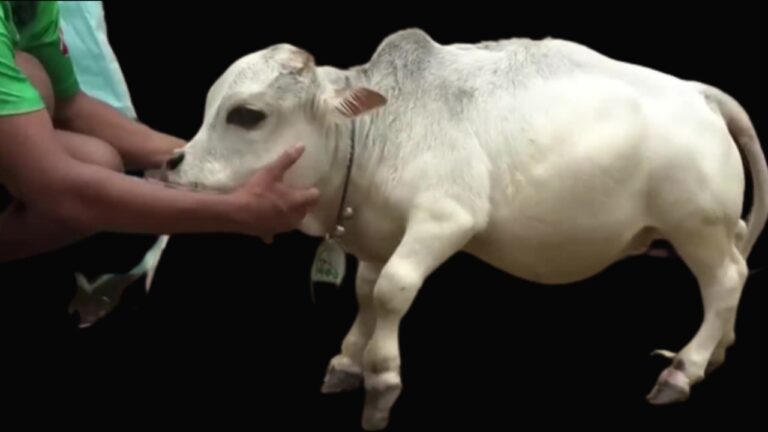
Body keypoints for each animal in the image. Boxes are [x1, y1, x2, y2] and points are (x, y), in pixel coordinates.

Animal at [160, 29, 767, 430]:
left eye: (247, 115)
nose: (173, 165)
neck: (377, 130)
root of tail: (698, 91)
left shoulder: (445, 218)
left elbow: (393, 289)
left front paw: (382, 379)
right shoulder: (376, 235)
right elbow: (366, 292)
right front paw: (349, 360)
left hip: (696, 226)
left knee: (726, 281)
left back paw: (685, 369)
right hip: (714, 227)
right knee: (734, 268)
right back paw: (717, 352)